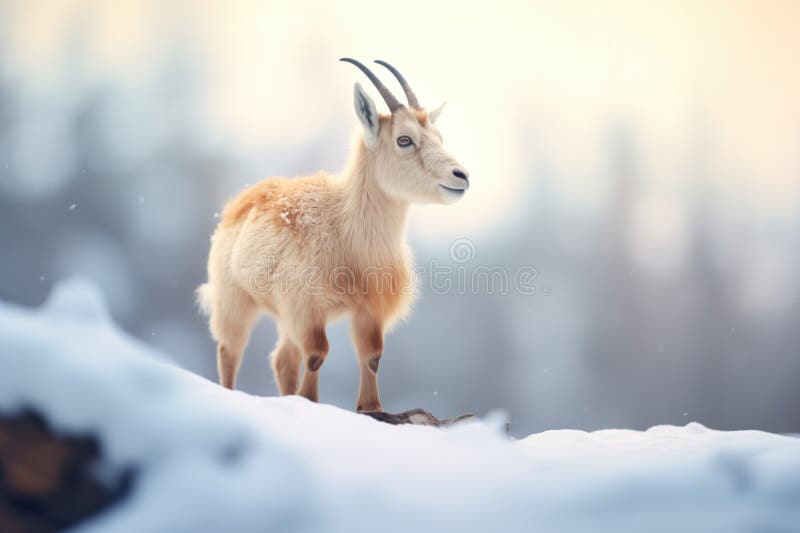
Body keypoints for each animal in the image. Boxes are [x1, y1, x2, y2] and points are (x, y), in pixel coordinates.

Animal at [197, 58, 469, 412]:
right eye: (404, 140)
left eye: (438, 136)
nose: (461, 176)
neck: (345, 226)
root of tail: (241, 201)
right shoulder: (306, 306)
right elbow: (318, 354)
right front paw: (310, 401)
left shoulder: (367, 309)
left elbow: (372, 356)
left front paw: (370, 407)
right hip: (234, 298)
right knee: (230, 350)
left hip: (282, 315)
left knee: (283, 359)